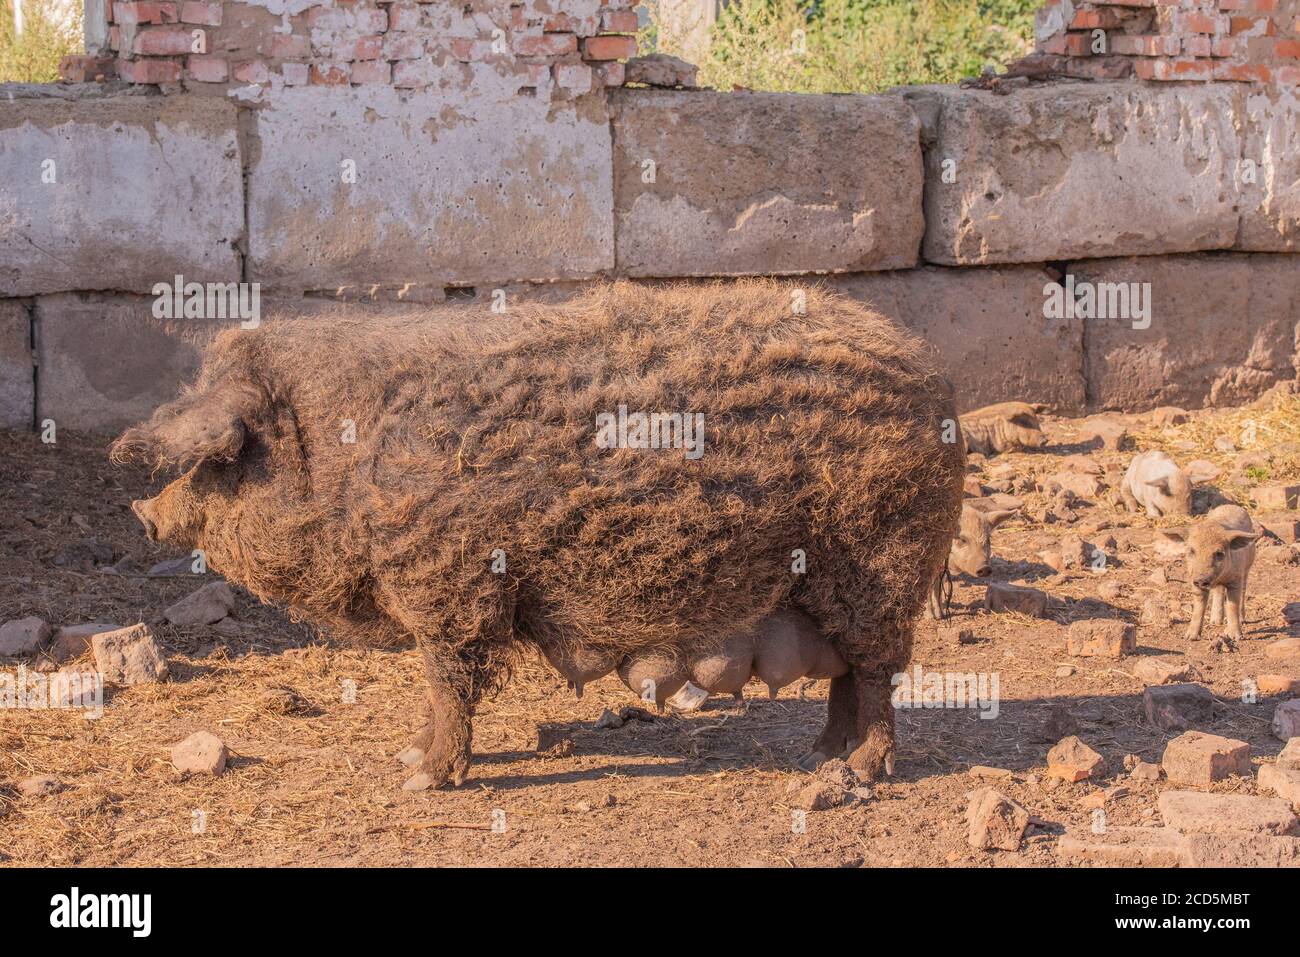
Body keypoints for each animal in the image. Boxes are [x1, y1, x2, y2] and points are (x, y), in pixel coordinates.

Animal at [113, 281, 965, 790]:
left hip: (877, 567)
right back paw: (818, 757)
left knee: (878, 674)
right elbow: (439, 688)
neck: (346, 468)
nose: (141, 512)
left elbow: (449, 683)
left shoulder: (450, 590)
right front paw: (406, 758)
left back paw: (860, 770)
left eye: (222, 460)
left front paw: (421, 778)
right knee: (849, 676)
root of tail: (936, 381)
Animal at [1158, 505, 1259, 647]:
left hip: (1247, 568)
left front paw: (1235, 637)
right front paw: (1190, 637)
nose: (1202, 580)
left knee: (1243, 591)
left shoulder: (1235, 579)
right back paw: (1215, 622)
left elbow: (1232, 605)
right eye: (1191, 551)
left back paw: (1242, 620)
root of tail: (1232, 505)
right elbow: (1199, 606)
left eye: (1219, 553)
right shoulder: (1193, 579)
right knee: (1218, 591)